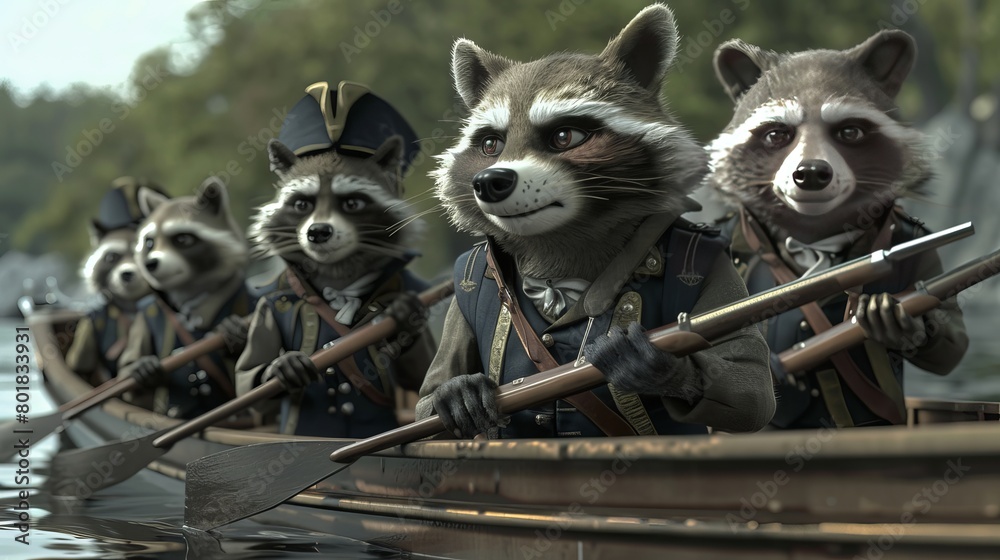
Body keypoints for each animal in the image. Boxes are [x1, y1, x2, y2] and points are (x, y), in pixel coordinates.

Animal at [117, 179, 254, 419]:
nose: (150, 264)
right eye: (150, 242)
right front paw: (140, 368)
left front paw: (235, 336)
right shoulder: (143, 319)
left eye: (181, 239)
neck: (190, 294)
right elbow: (126, 376)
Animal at [234, 136, 434, 438]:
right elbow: (249, 381)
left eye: (352, 203)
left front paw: (404, 320)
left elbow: (425, 374)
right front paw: (279, 366)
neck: (338, 280)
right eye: (302, 204)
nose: (318, 232)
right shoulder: (265, 308)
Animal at [416, 4, 774, 440]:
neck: (557, 248)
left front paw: (655, 366)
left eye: (565, 136)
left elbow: (751, 390)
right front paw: (454, 391)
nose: (489, 182)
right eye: (490, 144)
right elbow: (428, 398)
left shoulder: (714, 264)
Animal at [706, 30, 968, 429]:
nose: (811, 173)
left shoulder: (920, 241)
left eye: (850, 131)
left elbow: (954, 337)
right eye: (776, 134)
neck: (812, 238)